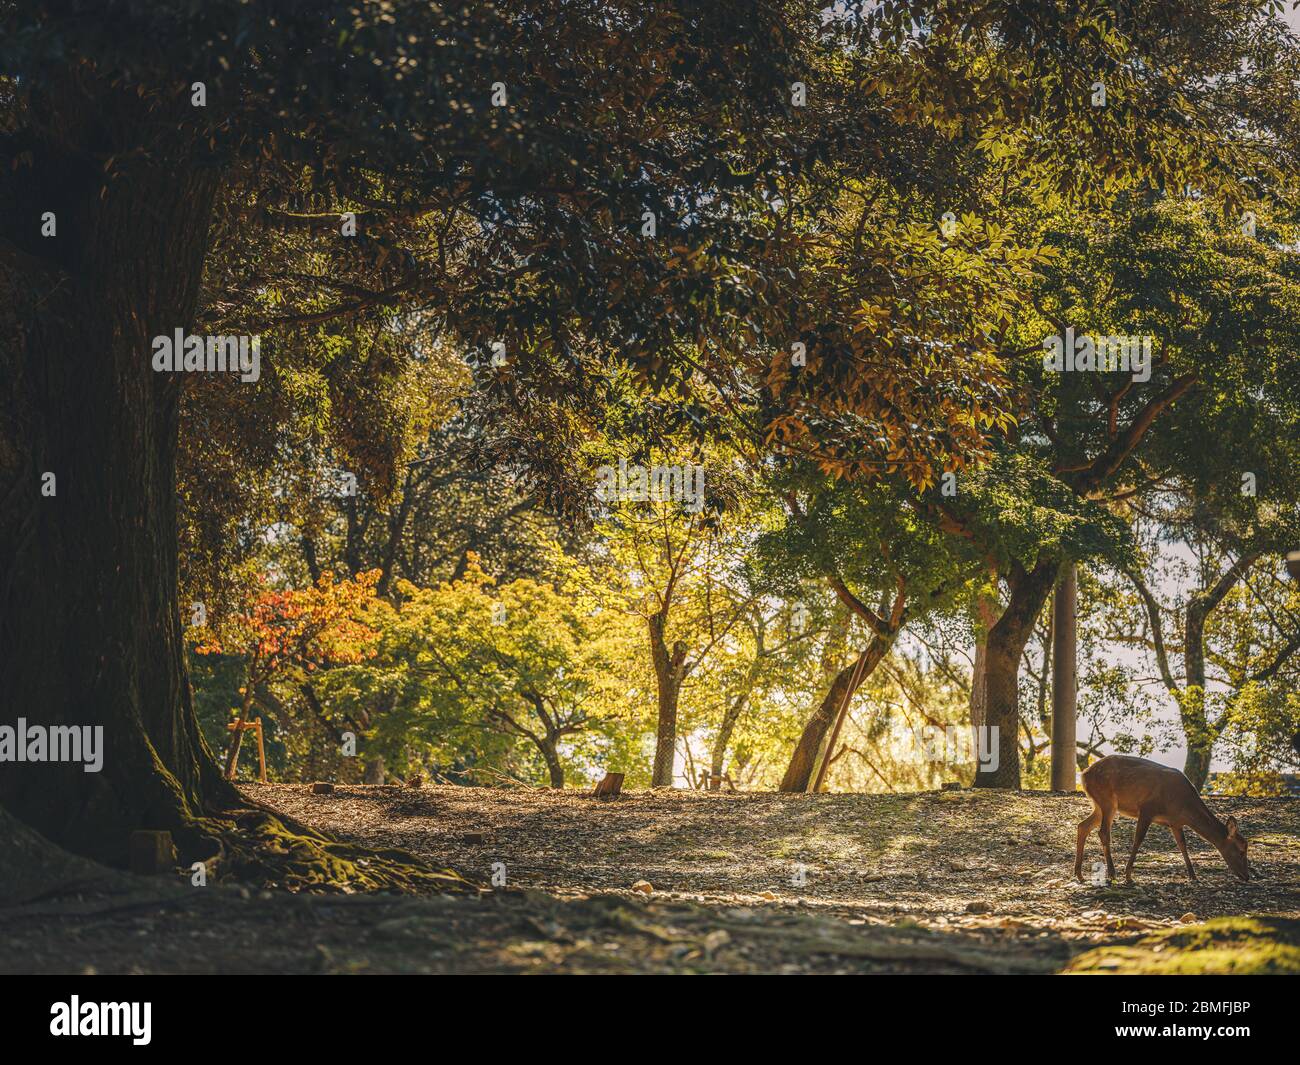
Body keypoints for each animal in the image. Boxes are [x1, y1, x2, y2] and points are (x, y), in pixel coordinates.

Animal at [1074, 755, 1251, 885]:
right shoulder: (1147, 809)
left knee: (1083, 826)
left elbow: (1182, 845)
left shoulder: (1175, 823)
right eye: (1241, 850)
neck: (1184, 807)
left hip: (1099, 805)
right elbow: (1138, 839)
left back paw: (1079, 874)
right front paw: (1128, 875)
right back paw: (1112, 873)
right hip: (1107, 801)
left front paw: (1193, 876)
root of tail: (1084, 775)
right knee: (1103, 832)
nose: (1247, 876)